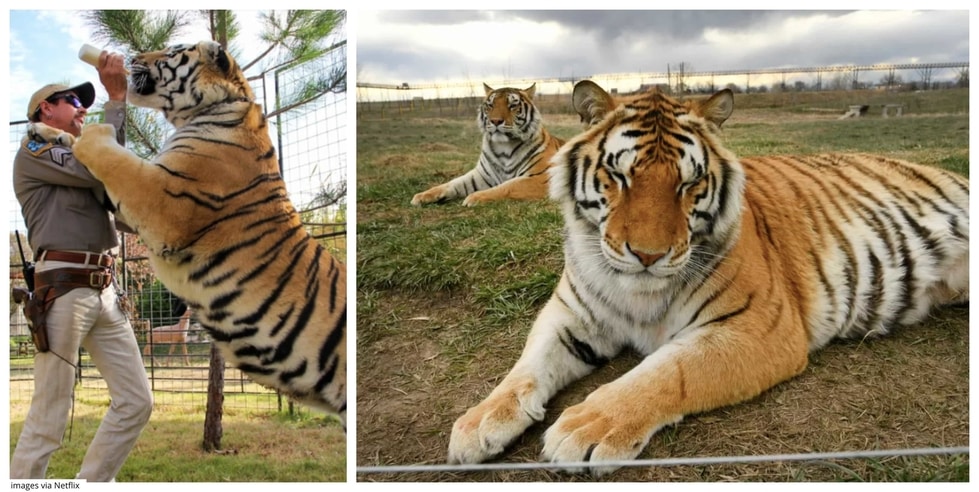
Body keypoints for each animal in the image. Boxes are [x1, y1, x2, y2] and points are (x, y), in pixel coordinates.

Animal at [411, 83, 564, 206]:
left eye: (512, 105)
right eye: (490, 105)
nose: (495, 121)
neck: (503, 147)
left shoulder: (542, 178)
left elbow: (507, 186)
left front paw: (474, 197)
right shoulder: (481, 175)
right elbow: (453, 183)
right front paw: (422, 196)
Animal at [447, 80, 968, 474]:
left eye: (688, 183)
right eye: (619, 177)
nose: (648, 255)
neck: (637, 292)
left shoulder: (760, 327)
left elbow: (668, 371)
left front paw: (586, 427)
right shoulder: (570, 314)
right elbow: (526, 367)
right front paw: (478, 422)